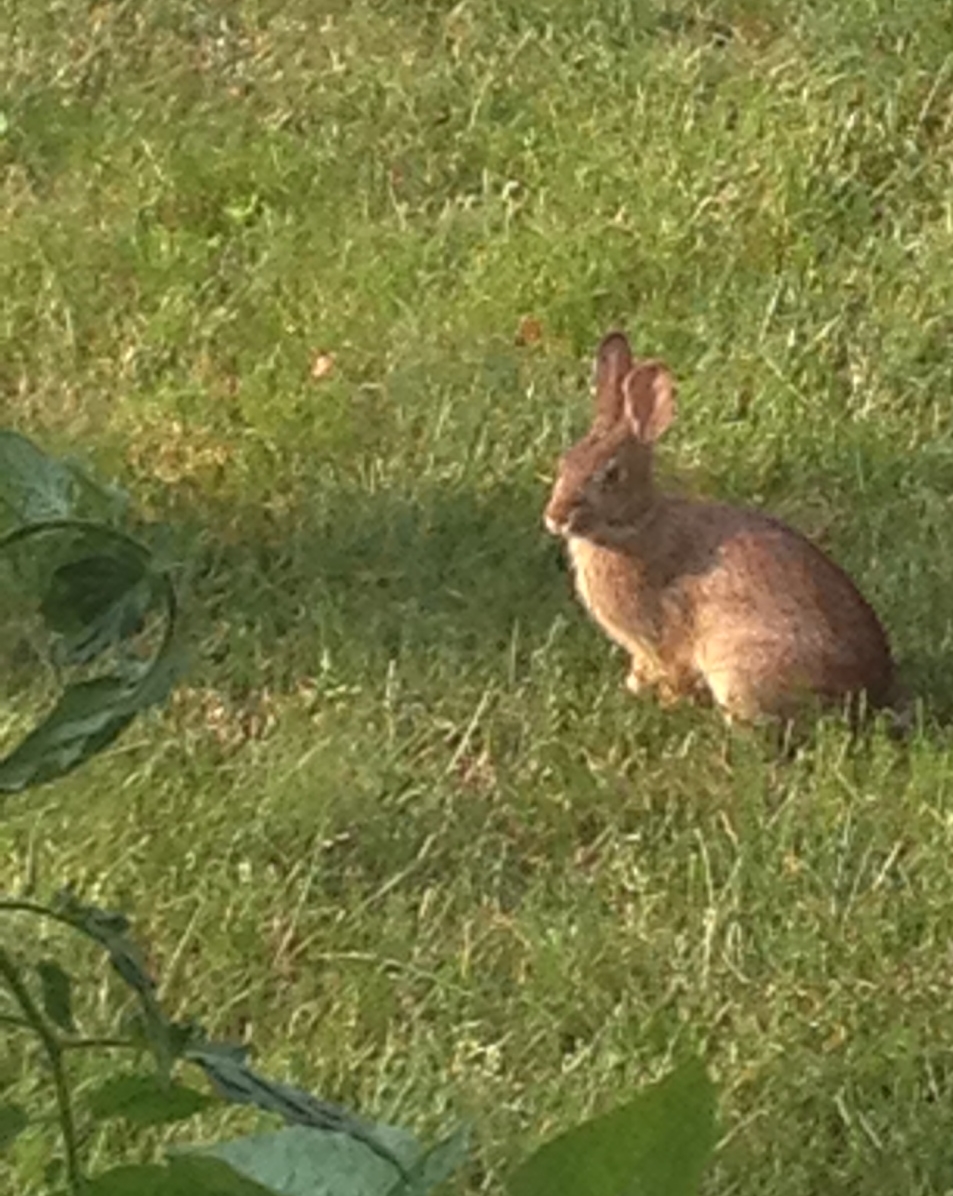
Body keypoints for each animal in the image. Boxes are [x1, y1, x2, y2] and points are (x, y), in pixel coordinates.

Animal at [544, 331, 897, 724]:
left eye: (611, 475)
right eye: (566, 462)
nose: (555, 516)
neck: (634, 525)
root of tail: (873, 692)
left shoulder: (666, 635)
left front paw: (662, 700)